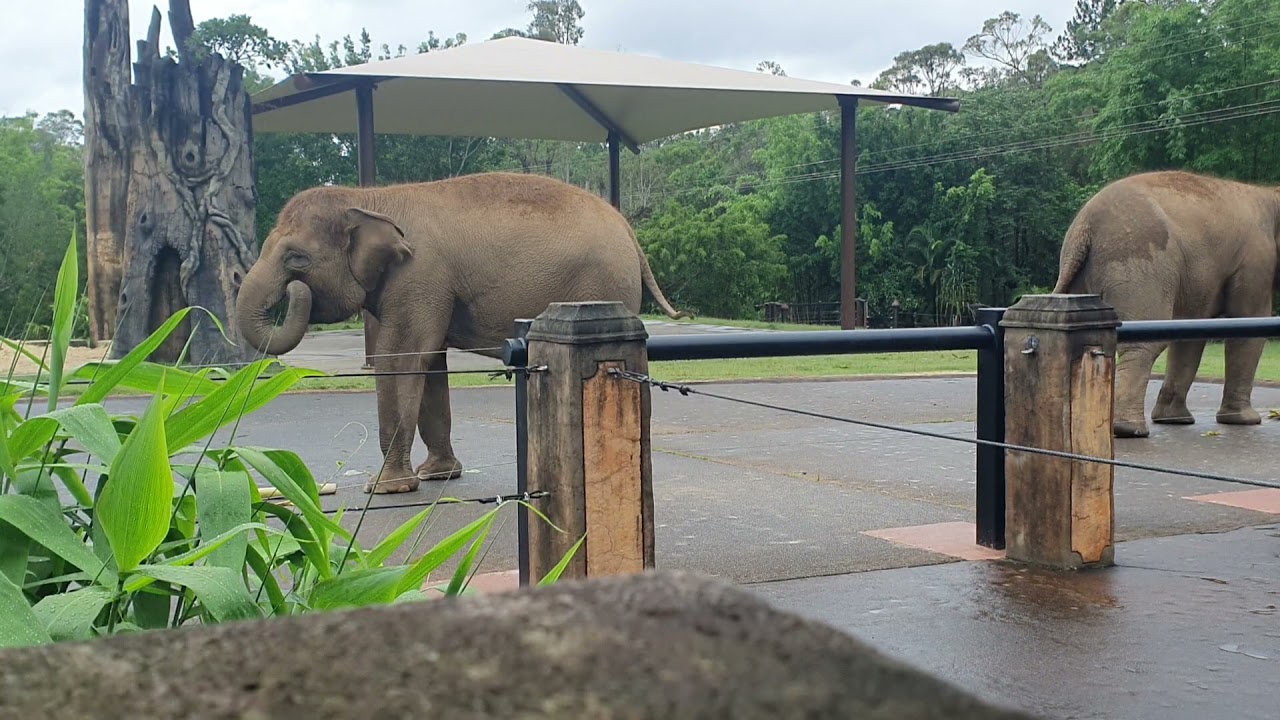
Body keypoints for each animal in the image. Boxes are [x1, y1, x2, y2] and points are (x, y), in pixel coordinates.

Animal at [236, 172, 690, 493]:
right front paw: (437, 476)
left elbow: (399, 357)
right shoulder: (418, 286)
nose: (295, 291)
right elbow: (429, 362)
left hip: (601, 288)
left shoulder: (418, 276)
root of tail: (627, 229)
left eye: (295, 258)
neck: (367, 198)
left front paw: (384, 489)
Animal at [1052, 170, 1280, 438]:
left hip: (1082, 278)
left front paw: (1174, 419)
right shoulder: (1255, 260)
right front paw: (1246, 420)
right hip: (1139, 265)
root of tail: (1084, 226)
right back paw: (1130, 430)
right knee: (1143, 344)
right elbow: (1248, 322)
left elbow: (1191, 333)